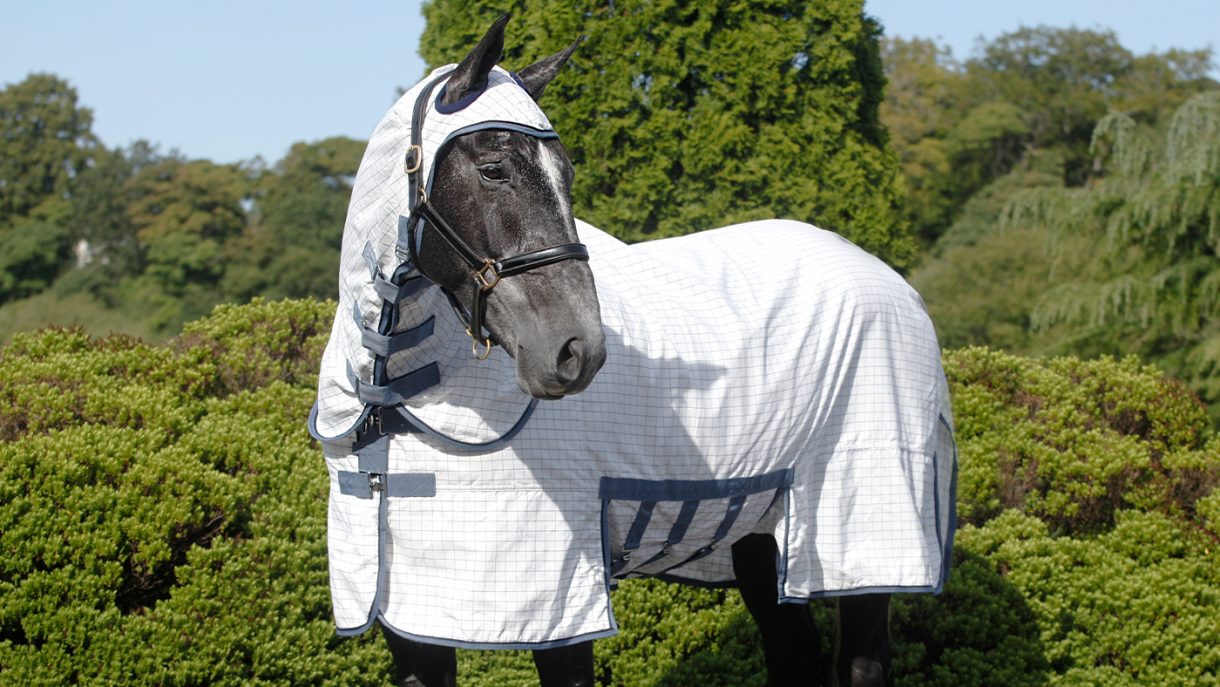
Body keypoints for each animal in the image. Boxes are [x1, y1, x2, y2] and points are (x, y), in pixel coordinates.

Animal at [310, 15, 956, 687]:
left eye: (568, 175)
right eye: (492, 169)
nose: (577, 349)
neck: (393, 395)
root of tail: (896, 285)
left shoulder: (560, 598)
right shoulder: (409, 620)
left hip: (862, 534)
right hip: (760, 536)